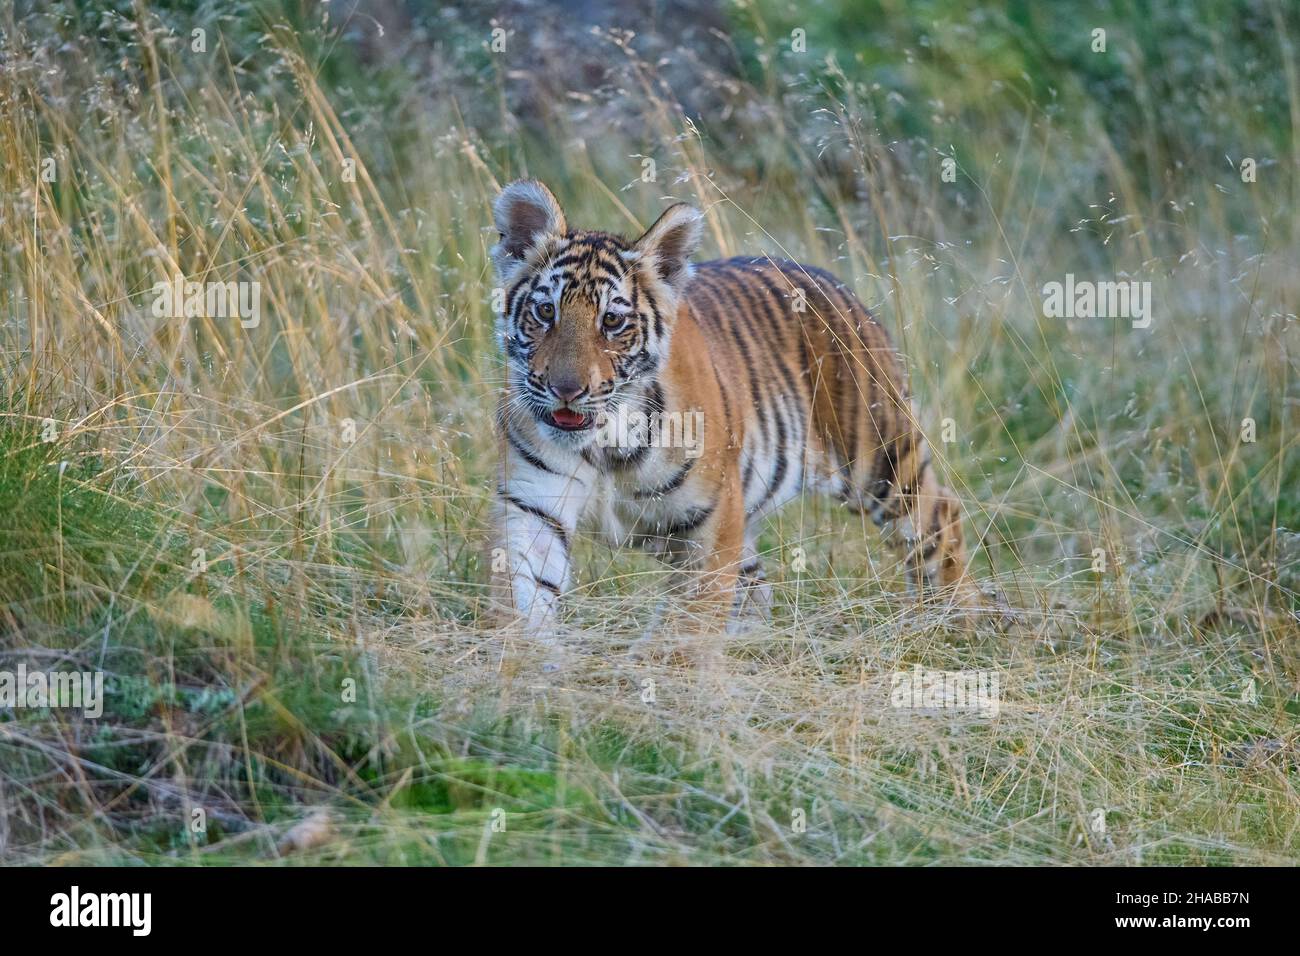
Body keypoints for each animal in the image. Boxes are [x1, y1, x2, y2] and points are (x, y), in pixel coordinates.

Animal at [488, 178, 983, 633]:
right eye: (546, 312)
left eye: (612, 321)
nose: (566, 389)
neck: (603, 443)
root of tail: (830, 279)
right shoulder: (531, 508)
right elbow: (524, 591)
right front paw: (525, 661)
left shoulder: (712, 522)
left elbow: (692, 624)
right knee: (758, 589)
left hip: (879, 461)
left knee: (939, 519)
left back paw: (959, 624)